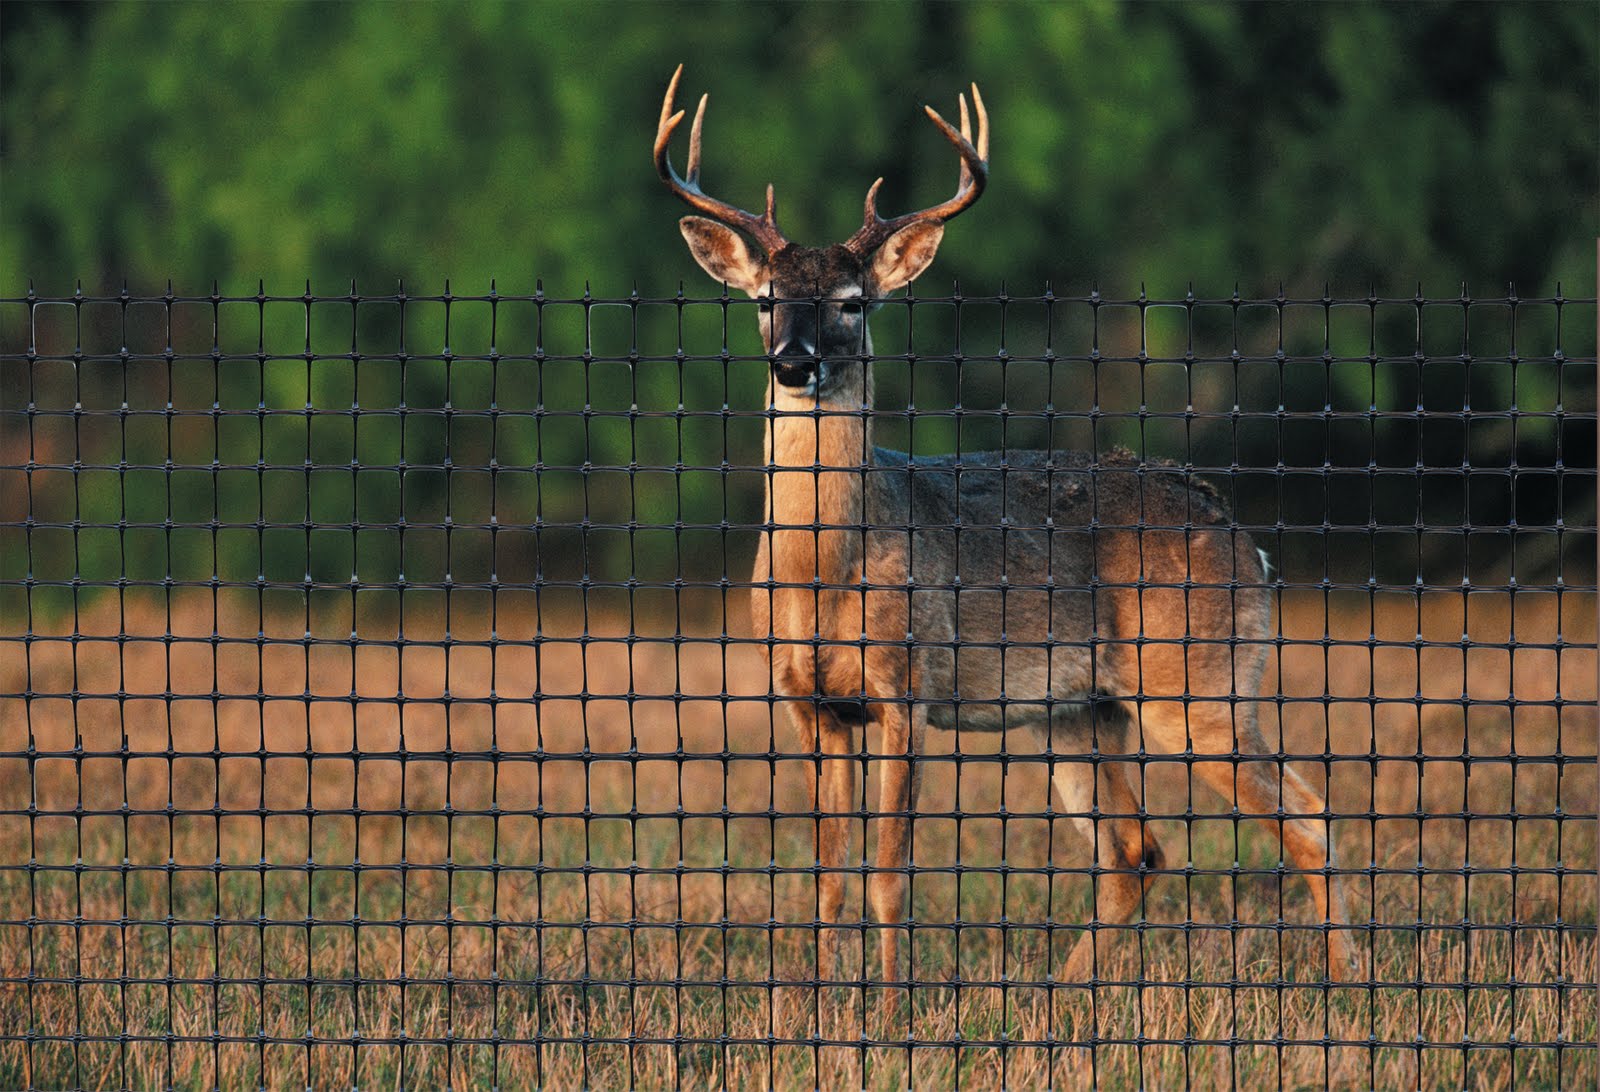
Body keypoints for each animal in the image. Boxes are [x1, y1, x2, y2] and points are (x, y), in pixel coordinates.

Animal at [653, 65, 1358, 986]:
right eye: (767, 299)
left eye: (853, 303)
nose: (794, 363)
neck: (826, 568)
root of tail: (1243, 536)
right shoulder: (808, 701)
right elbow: (828, 878)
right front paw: (822, 1002)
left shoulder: (906, 688)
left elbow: (888, 874)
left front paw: (891, 1005)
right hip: (1078, 711)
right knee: (1136, 852)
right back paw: (1062, 995)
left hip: (1200, 683)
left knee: (1308, 819)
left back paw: (1349, 981)